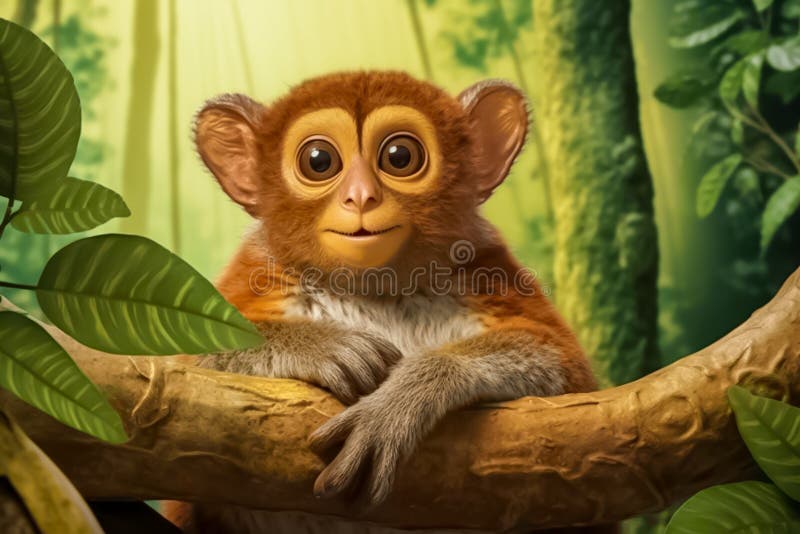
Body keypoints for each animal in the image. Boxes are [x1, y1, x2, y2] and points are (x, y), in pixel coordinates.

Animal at [164, 71, 607, 534]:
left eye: (400, 156)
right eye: (319, 161)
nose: (361, 197)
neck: (375, 288)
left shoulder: (488, 272)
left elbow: (565, 373)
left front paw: (403, 399)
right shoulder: (259, 272)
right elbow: (190, 370)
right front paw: (325, 347)